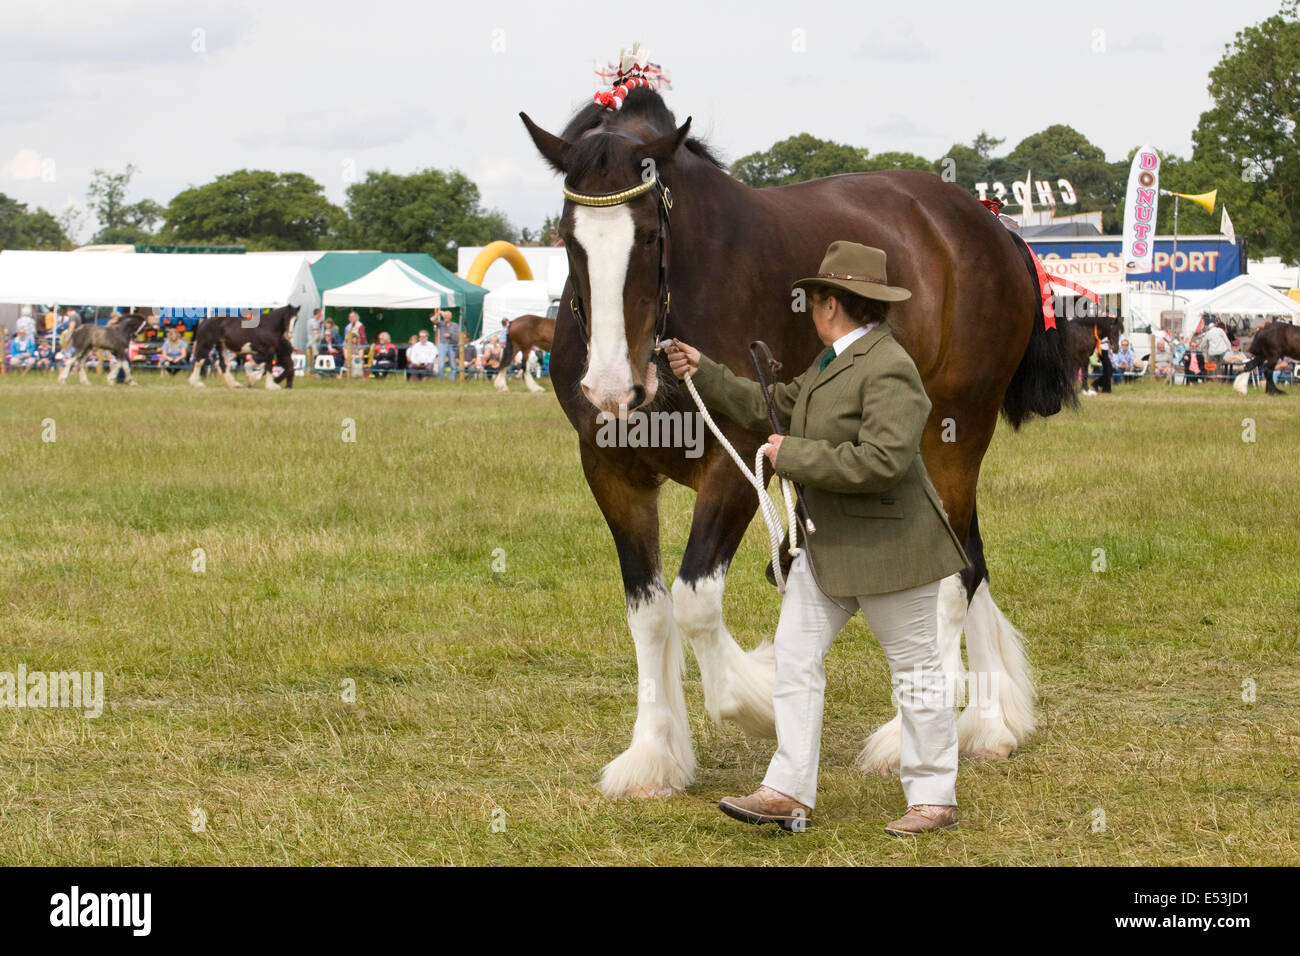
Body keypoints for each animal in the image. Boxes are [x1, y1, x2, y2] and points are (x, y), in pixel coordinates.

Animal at [520, 85, 1075, 798]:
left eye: (649, 236)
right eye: (568, 241)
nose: (614, 387)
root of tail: (990, 222)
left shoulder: (740, 460)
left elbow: (694, 603)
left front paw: (758, 702)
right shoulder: (611, 472)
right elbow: (648, 612)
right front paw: (652, 755)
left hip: (958, 429)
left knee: (956, 578)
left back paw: (913, 736)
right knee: (968, 562)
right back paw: (987, 724)